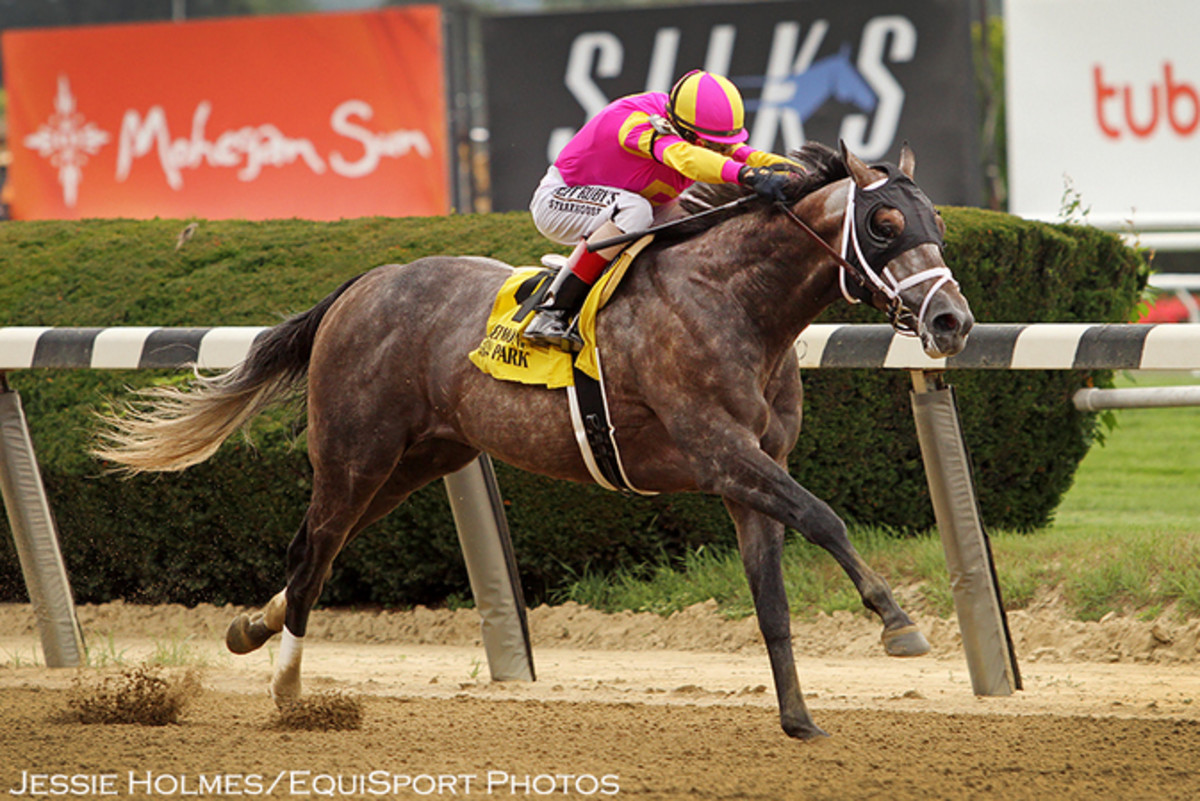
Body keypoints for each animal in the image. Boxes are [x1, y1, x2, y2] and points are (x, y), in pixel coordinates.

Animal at [93, 141, 973, 740]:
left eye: (935, 219)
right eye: (885, 222)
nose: (951, 320)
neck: (735, 302)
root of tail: (366, 284)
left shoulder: (748, 472)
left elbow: (773, 598)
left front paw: (799, 718)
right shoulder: (722, 450)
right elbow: (825, 516)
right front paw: (899, 624)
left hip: (419, 460)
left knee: (322, 548)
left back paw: (251, 627)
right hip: (353, 453)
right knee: (313, 548)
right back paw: (287, 690)